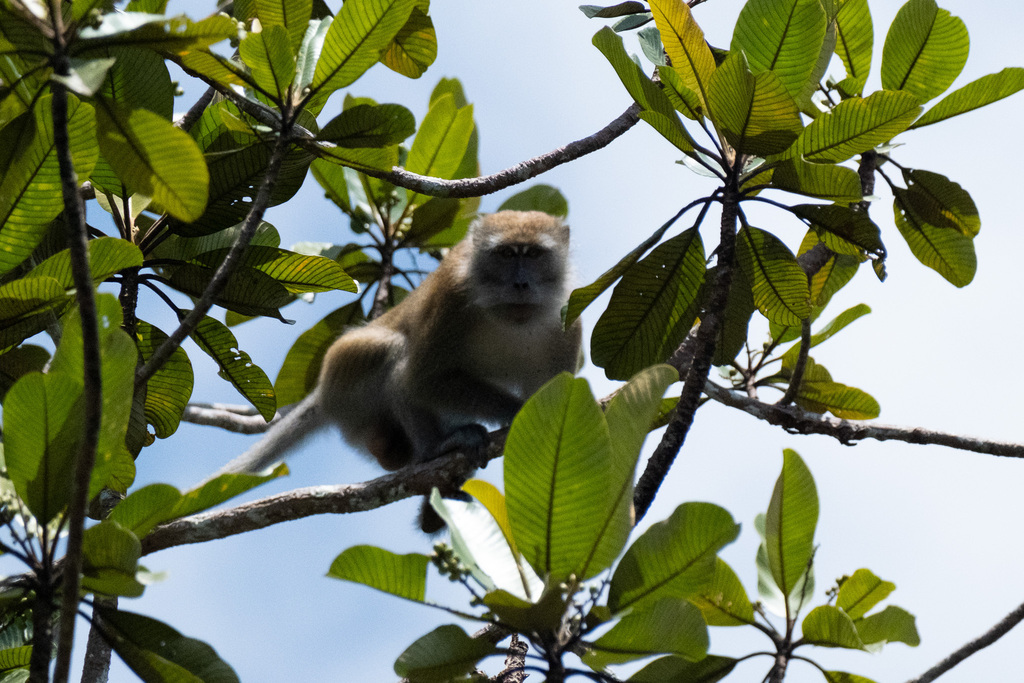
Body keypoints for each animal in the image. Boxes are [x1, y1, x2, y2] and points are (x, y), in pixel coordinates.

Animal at [215, 211, 582, 532]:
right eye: (506, 254)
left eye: (533, 254)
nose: (520, 283)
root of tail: (323, 393)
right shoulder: (452, 298)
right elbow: (419, 379)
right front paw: (514, 409)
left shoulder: (569, 317)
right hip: (346, 373)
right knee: (395, 358)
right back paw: (434, 452)